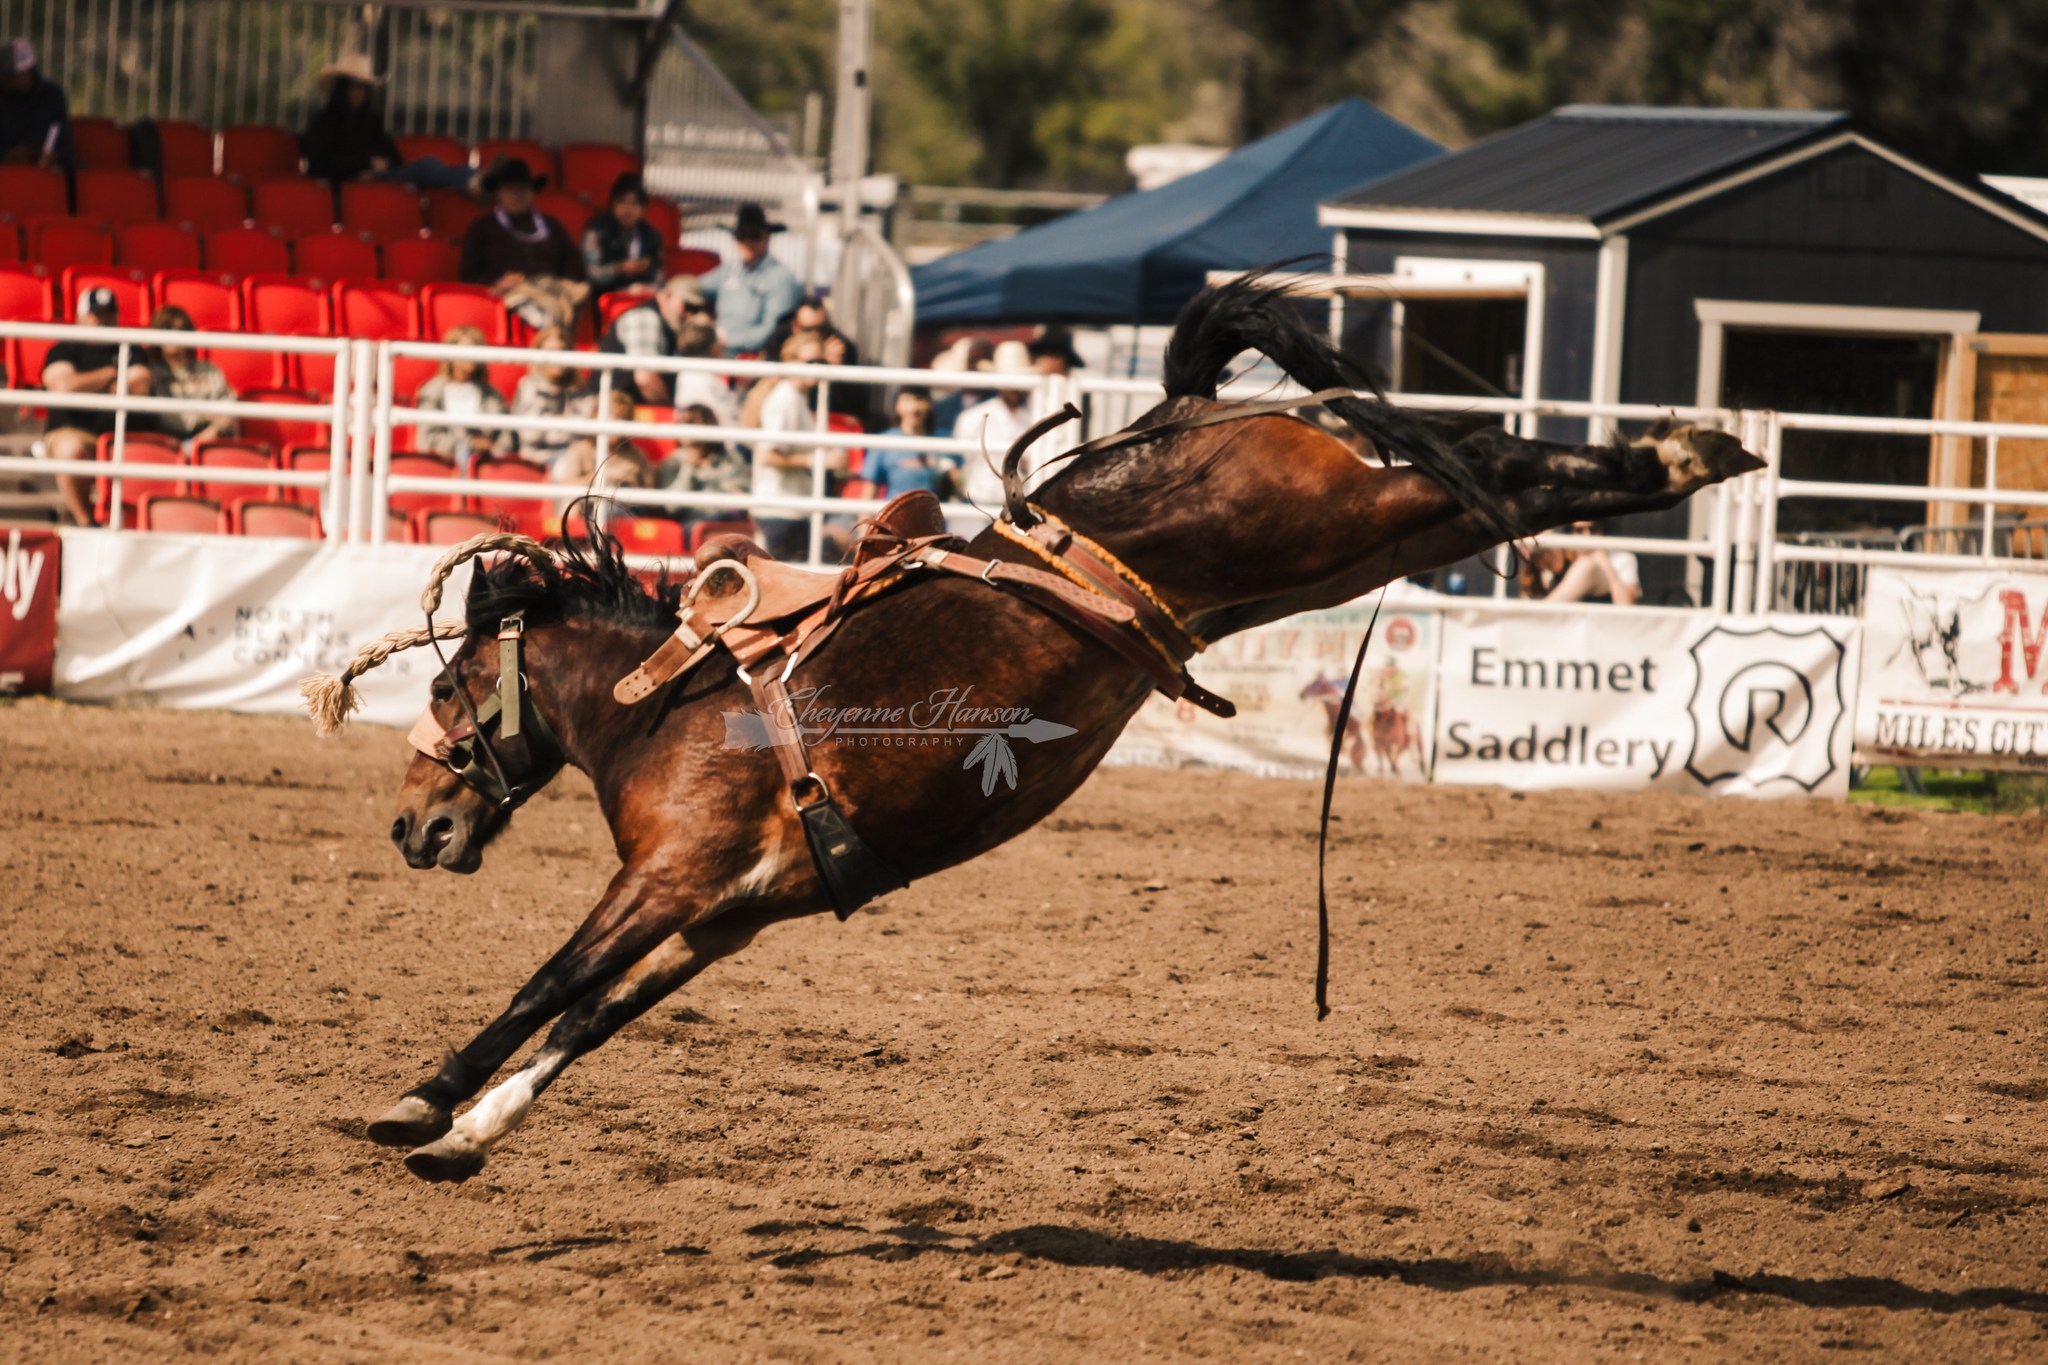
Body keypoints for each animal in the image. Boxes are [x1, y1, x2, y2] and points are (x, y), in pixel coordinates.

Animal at [308, 275, 1761, 1183]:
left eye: (448, 691)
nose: (413, 823)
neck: (670, 705)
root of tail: (1176, 415)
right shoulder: (726, 915)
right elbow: (590, 1023)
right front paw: (468, 1134)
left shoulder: (667, 878)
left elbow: (546, 984)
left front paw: (417, 1100)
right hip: (1348, 539)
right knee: (1489, 478)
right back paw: (1686, 452)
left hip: (1318, 514)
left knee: (1484, 471)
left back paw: (1686, 453)